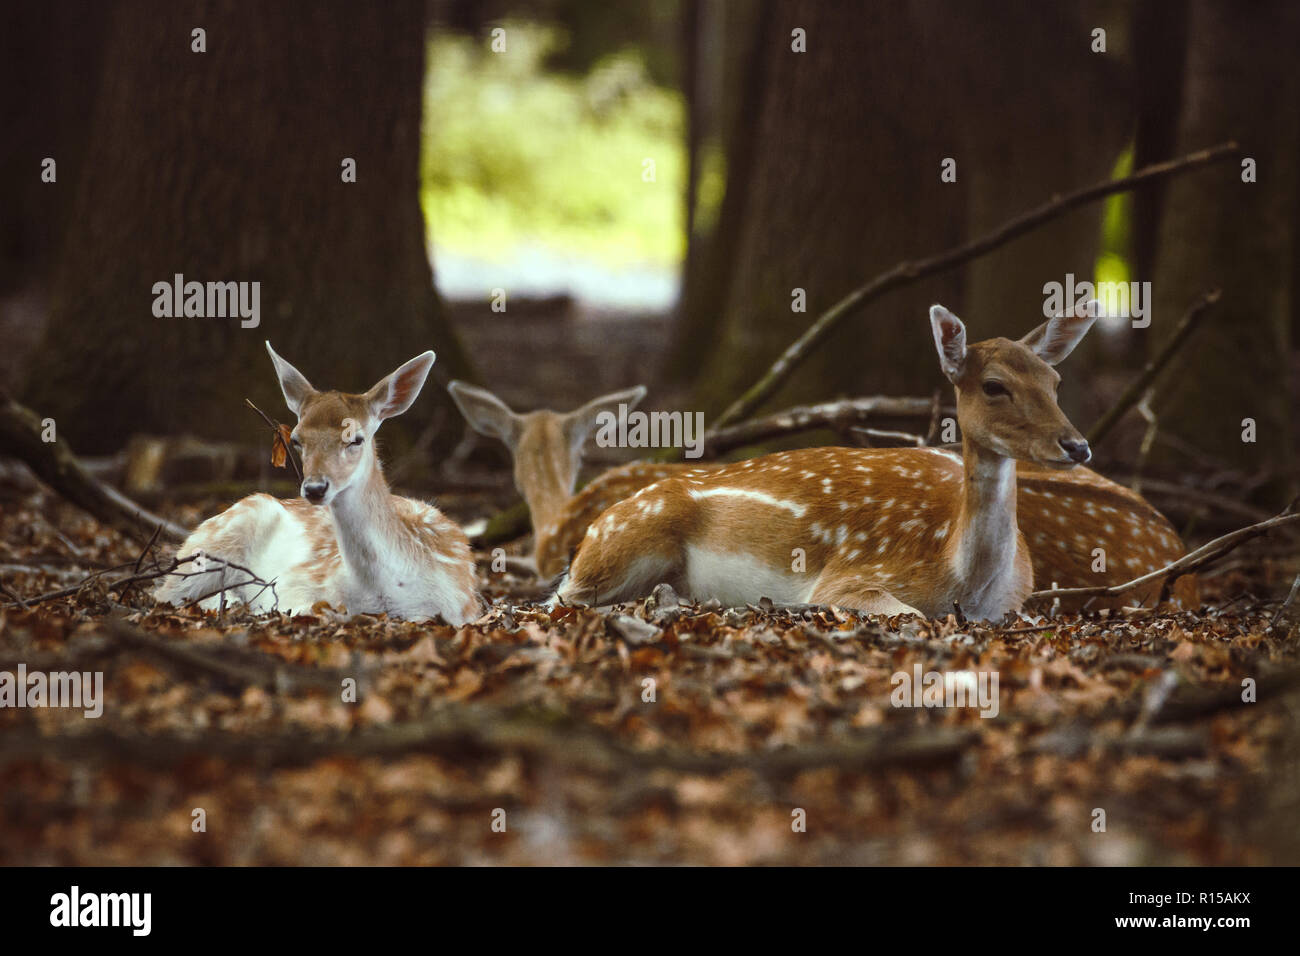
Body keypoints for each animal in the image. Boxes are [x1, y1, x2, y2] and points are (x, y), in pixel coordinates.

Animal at [155, 343, 481, 624]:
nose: (314, 488)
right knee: (163, 593)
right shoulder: (295, 583)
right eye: (296, 439)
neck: (384, 590)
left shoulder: (460, 607)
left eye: (356, 438)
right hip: (210, 545)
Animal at [554, 303, 1182, 620]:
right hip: (622, 546)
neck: (963, 579)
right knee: (557, 599)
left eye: (1054, 381)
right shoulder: (847, 577)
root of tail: (591, 530)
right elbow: (910, 616)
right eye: (994, 386)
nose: (1078, 447)